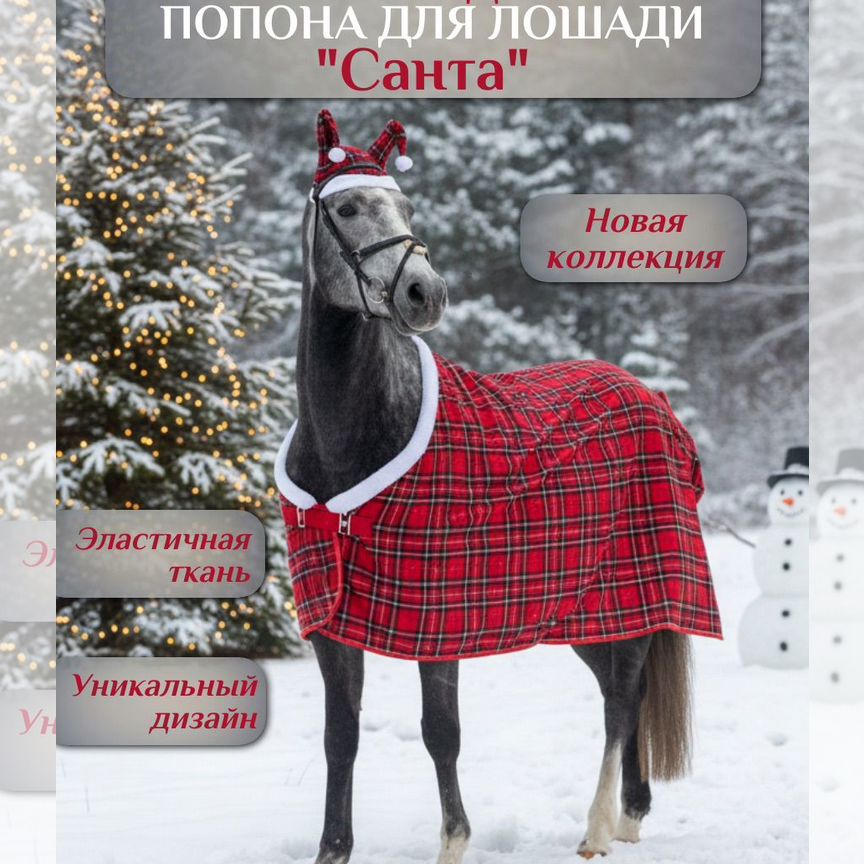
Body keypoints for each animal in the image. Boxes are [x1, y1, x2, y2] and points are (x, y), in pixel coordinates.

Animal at [281, 152, 703, 864]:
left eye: (407, 207)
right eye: (347, 207)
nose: (424, 291)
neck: (352, 449)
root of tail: (651, 395)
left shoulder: (435, 620)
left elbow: (440, 732)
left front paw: (454, 842)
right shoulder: (332, 623)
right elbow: (341, 737)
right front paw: (333, 849)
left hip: (633, 590)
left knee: (622, 698)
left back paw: (597, 828)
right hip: (583, 611)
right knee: (624, 693)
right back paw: (631, 814)